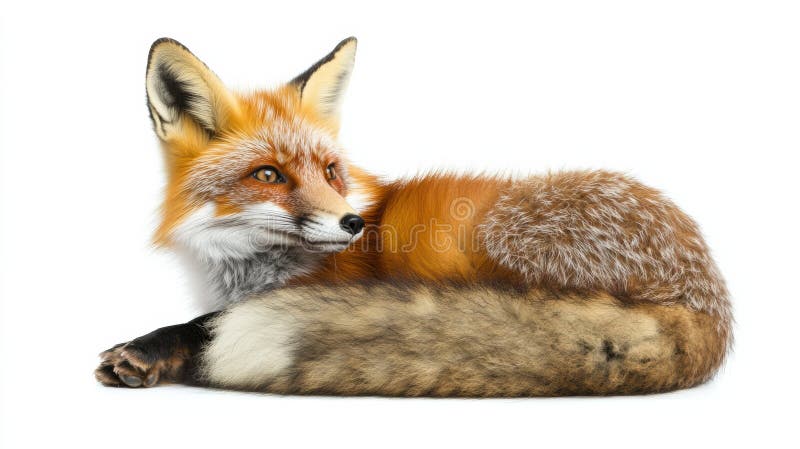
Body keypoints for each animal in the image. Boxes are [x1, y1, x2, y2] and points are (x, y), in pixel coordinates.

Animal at [95, 37, 732, 396]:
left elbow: (199, 323)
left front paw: (150, 349)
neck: (249, 270)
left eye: (330, 170)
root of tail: (711, 305)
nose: (353, 224)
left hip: (505, 238)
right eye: (268, 175)